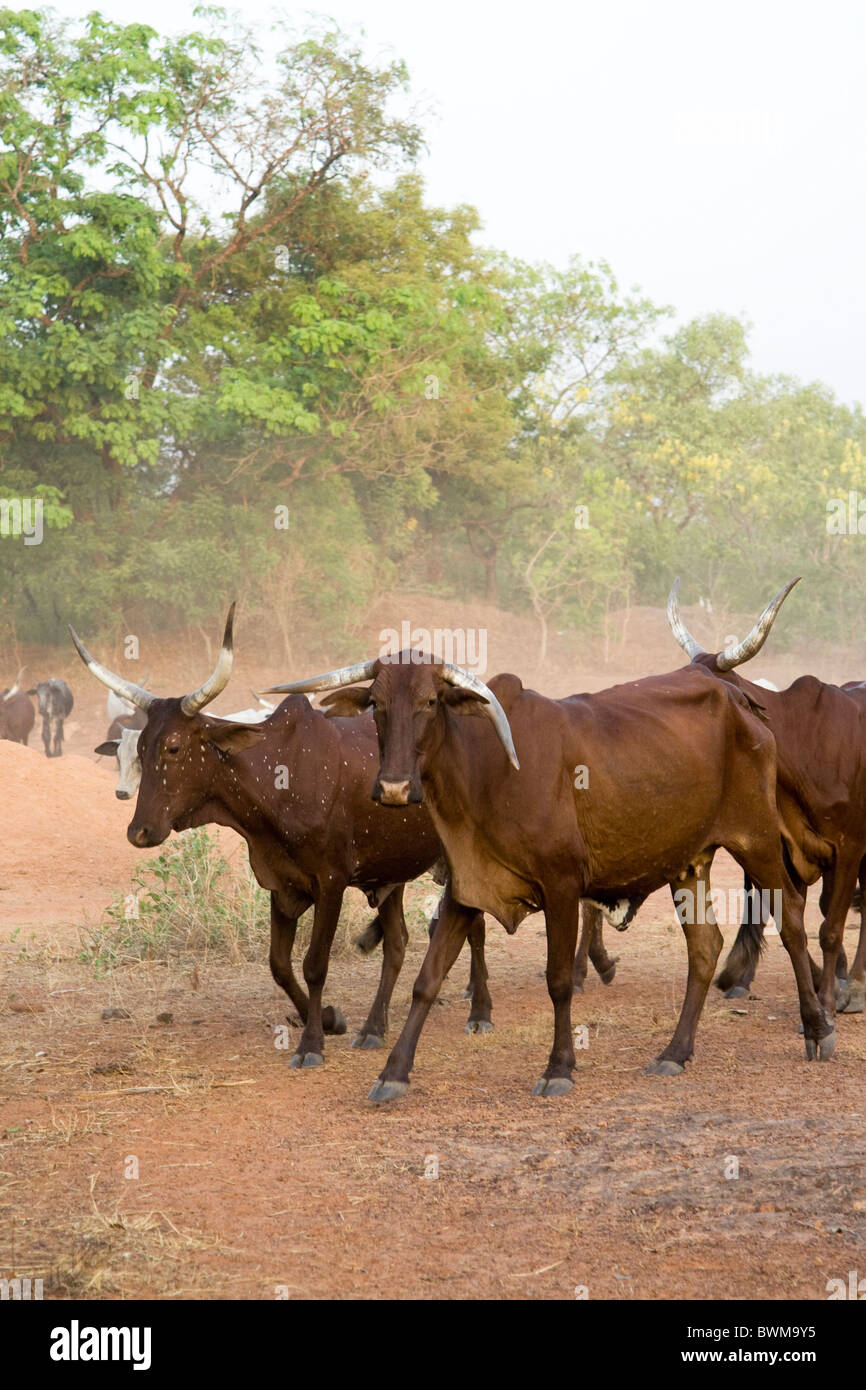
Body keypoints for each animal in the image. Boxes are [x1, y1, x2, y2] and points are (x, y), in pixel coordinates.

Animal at [69, 606, 495, 1063]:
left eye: (174, 748)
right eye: (139, 748)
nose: (139, 831)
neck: (277, 779)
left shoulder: (331, 882)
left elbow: (314, 964)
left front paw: (312, 1043)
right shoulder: (282, 884)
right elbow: (279, 964)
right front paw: (329, 1018)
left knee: (474, 928)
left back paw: (480, 1011)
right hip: (392, 870)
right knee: (397, 943)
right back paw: (373, 1028)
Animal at [265, 652, 832, 1102]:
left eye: (430, 701)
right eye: (377, 705)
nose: (395, 788)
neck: (485, 768)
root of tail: (738, 699)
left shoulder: (562, 888)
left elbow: (559, 982)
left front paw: (559, 1067)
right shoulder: (465, 888)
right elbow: (426, 982)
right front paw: (393, 1073)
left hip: (757, 839)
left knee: (793, 921)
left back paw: (818, 1027)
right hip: (690, 863)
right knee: (704, 947)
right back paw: (675, 1051)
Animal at [668, 579, 866, 1020]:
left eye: (709, 696)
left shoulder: (850, 849)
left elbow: (830, 929)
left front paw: (829, 1003)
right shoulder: (788, 851)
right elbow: (789, 919)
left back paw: (857, 987)